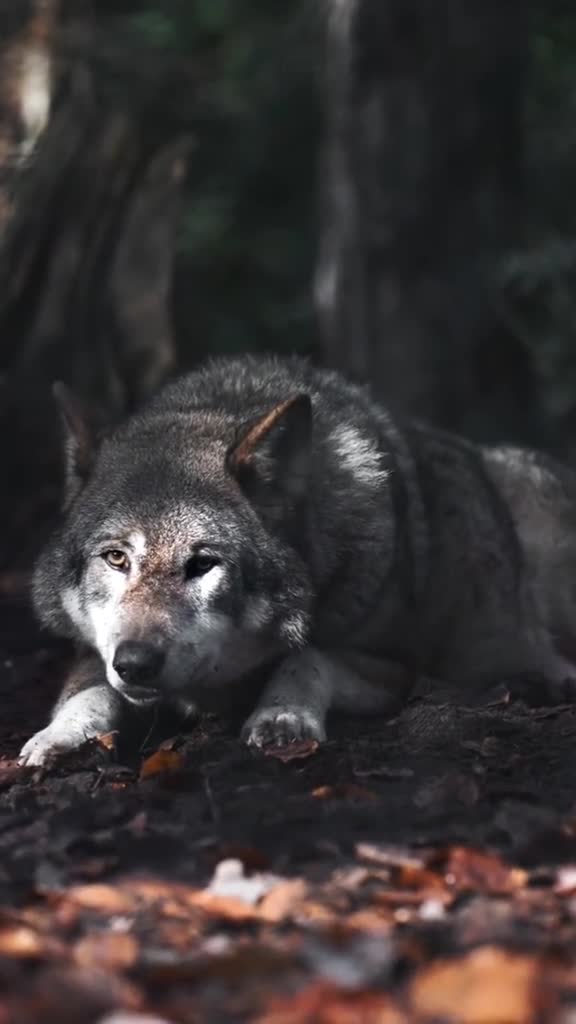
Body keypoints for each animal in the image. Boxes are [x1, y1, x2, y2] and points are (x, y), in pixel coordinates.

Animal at [18, 355, 576, 766]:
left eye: (202, 564)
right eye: (116, 558)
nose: (135, 663)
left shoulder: (397, 668)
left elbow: (306, 656)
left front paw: (282, 715)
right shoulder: (95, 654)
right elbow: (88, 694)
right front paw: (56, 736)